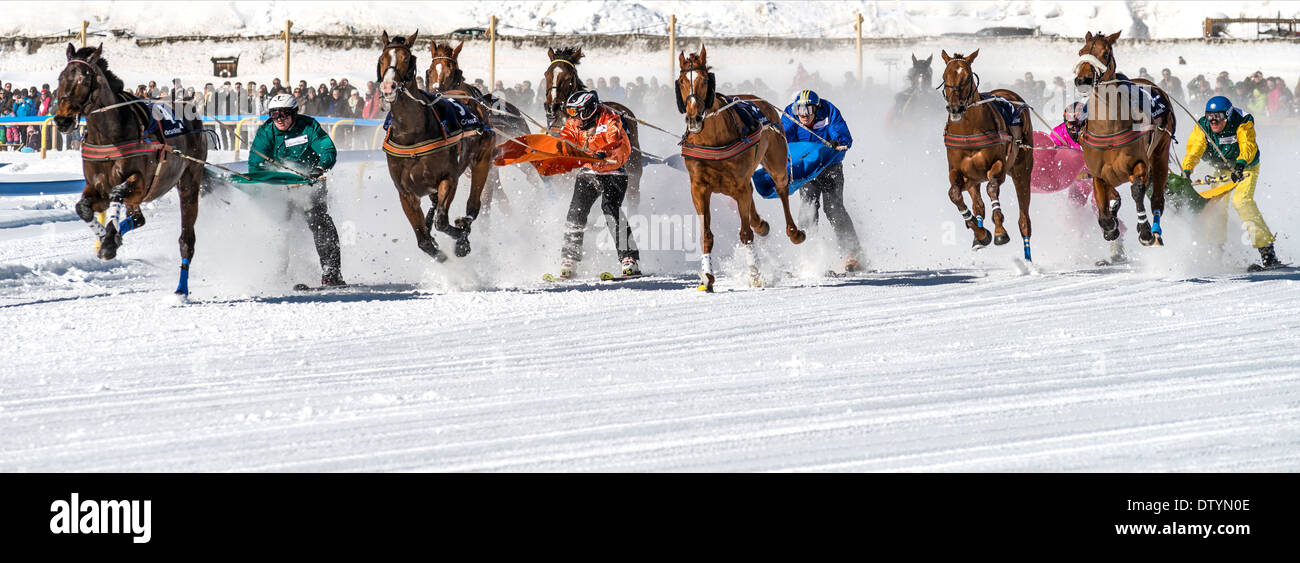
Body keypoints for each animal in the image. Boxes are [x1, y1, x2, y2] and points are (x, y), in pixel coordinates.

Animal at [53, 43, 208, 296]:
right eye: (61, 78)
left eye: (85, 80)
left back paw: (181, 289)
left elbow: (118, 192)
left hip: (189, 180)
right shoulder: (97, 186)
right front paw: (107, 237)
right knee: (138, 218)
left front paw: (109, 239)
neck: (108, 135)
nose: (62, 120)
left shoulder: (140, 182)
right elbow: (83, 208)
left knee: (186, 239)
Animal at [377, 31, 494, 262]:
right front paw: (434, 246)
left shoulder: (448, 178)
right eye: (382, 58)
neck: (411, 136)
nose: (388, 87)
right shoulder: (406, 193)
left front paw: (460, 237)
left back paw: (464, 230)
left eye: (407, 59)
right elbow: (424, 241)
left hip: (482, 160)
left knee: (473, 206)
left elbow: (443, 221)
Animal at [676, 45, 804, 292]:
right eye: (681, 81)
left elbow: (745, 234)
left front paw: (754, 274)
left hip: (776, 161)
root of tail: (756, 99)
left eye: (704, 80)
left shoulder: (739, 185)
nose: (694, 118)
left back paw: (793, 232)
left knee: (781, 189)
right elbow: (706, 235)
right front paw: (707, 277)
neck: (713, 140)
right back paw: (761, 224)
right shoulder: (698, 188)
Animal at [938, 50, 1034, 260]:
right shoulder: (961, 172)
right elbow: (954, 194)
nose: (955, 108)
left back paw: (1028, 257)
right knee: (977, 203)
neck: (968, 133)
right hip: (975, 179)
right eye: (944, 76)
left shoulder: (998, 166)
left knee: (1024, 217)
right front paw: (980, 233)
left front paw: (999, 231)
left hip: (1022, 168)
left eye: (967, 77)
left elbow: (992, 187)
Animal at [1074, 30, 1176, 249]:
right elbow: (1105, 204)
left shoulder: (1139, 163)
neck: (1108, 130)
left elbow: (1137, 190)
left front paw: (1144, 230)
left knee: (1157, 199)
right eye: (1081, 52)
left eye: (1105, 53)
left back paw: (1156, 231)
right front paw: (1110, 226)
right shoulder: (1098, 173)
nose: (1083, 79)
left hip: (1161, 152)